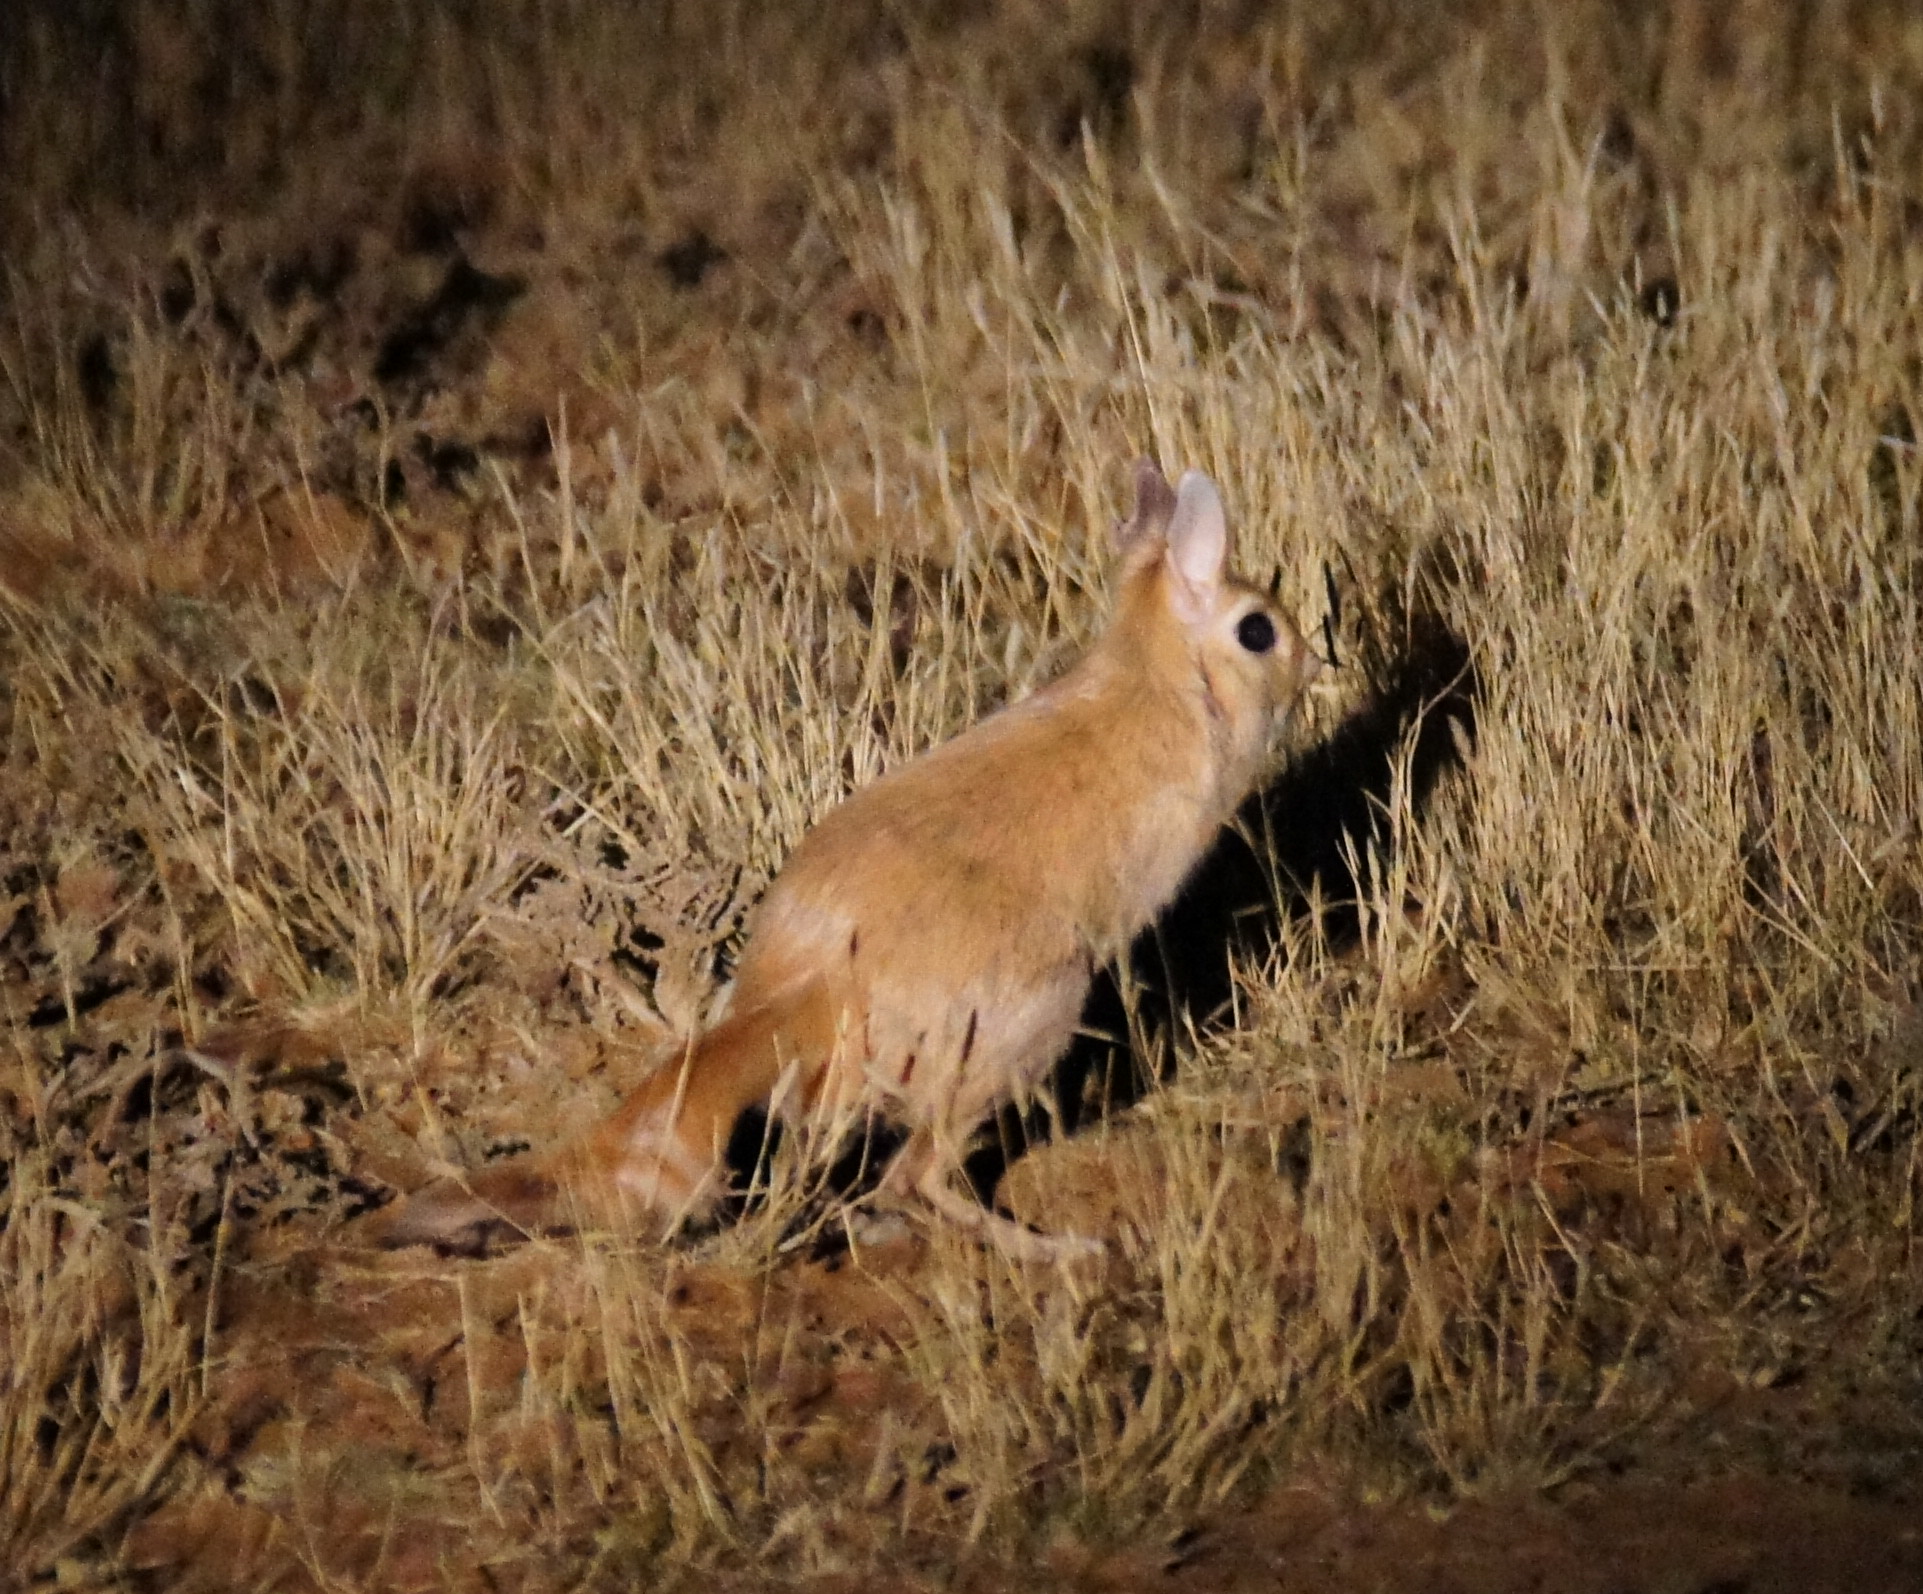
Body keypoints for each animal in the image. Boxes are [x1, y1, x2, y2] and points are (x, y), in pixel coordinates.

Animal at [379, 460, 1320, 1260]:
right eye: (1257, 631)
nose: (1314, 661)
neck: (1157, 679)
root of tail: (804, 991)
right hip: (1032, 1024)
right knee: (915, 1177)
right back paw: (1055, 1252)